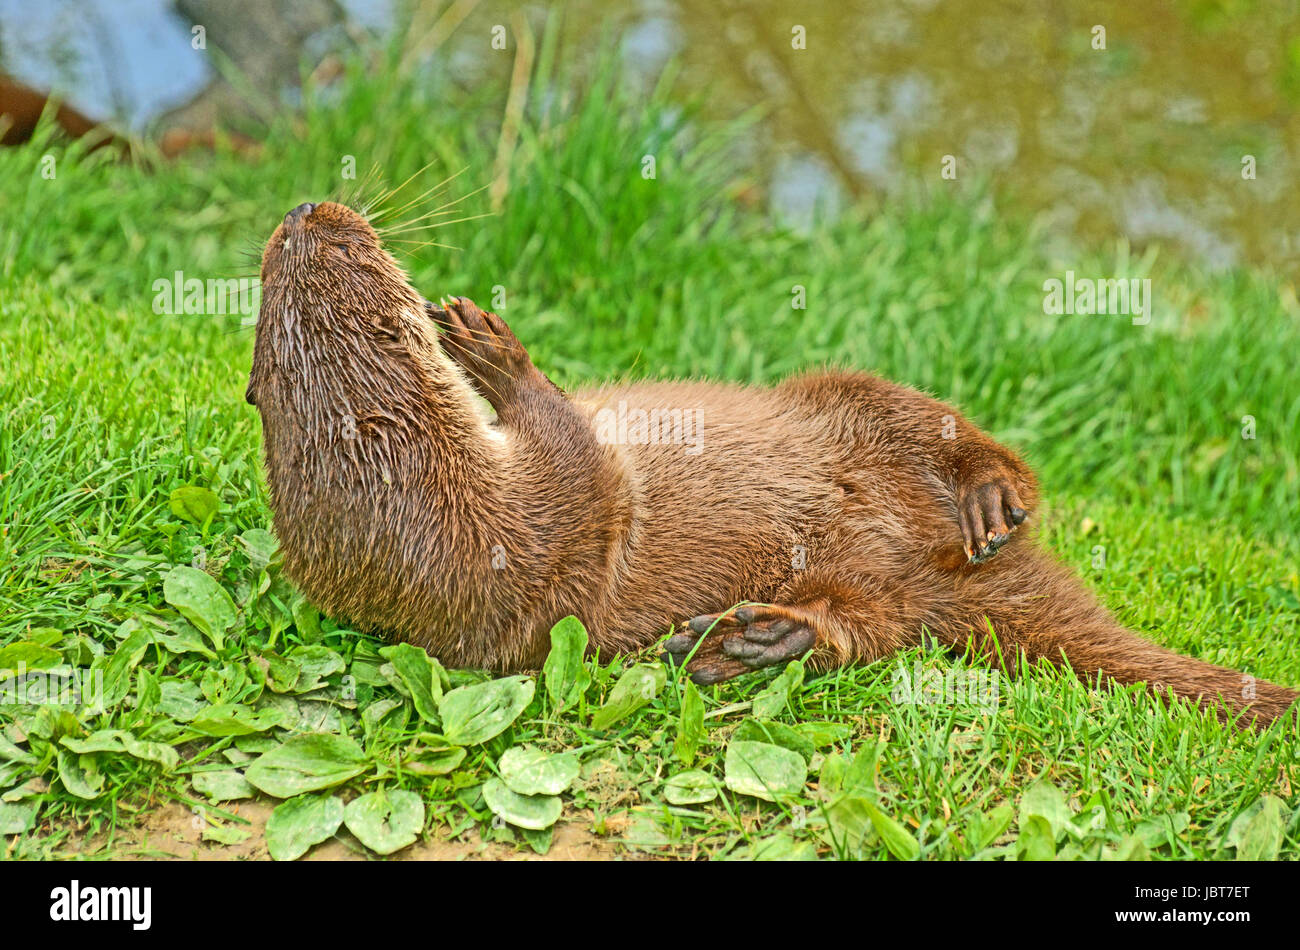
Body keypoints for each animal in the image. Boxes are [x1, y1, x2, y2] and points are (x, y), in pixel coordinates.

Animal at [246, 200, 1298, 726]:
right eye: (347, 244)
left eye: (299, 246)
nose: (306, 203)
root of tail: (937, 567)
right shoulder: (552, 526)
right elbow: (582, 458)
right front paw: (499, 357)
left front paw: (477, 339)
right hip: (886, 570)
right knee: (875, 630)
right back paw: (763, 640)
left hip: (839, 398)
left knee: (952, 436)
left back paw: (988, 500)